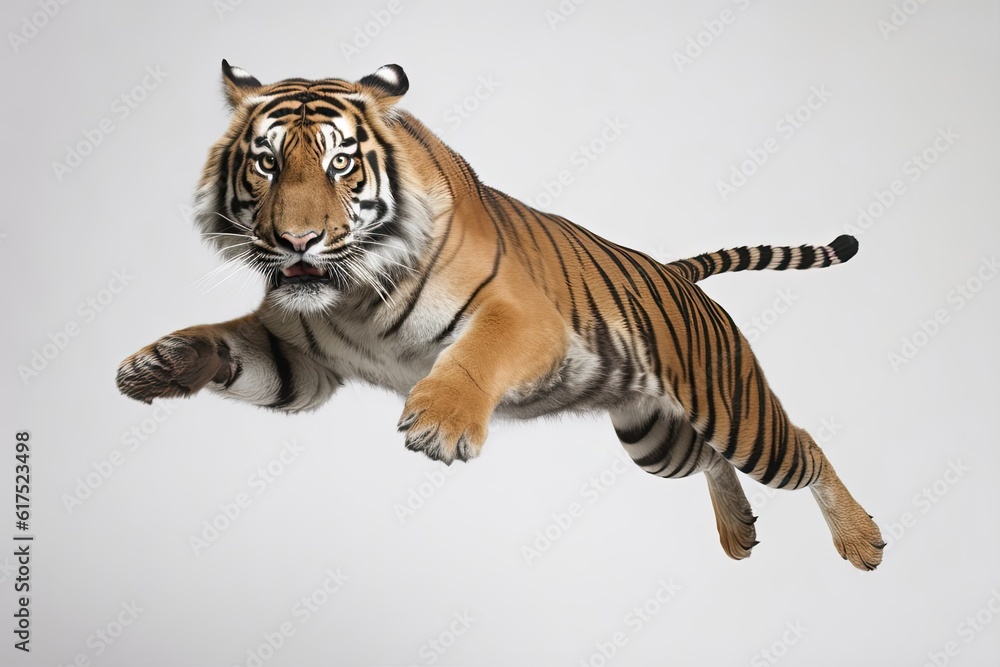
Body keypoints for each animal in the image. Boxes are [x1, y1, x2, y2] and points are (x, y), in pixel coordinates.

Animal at [116, 61, 885, 570]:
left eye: (340, 165)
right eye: (267, 164)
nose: (297, 240)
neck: (354, 291)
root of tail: (677, 274)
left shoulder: (523, 317)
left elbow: (474, 354)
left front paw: (442, 419)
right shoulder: (301, 360)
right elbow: (226, 347)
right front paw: (159, 363)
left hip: (735, 411)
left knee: (804, 447)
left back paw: (862, 541)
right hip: (655, 440)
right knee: (710, 461)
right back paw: (739, 531)